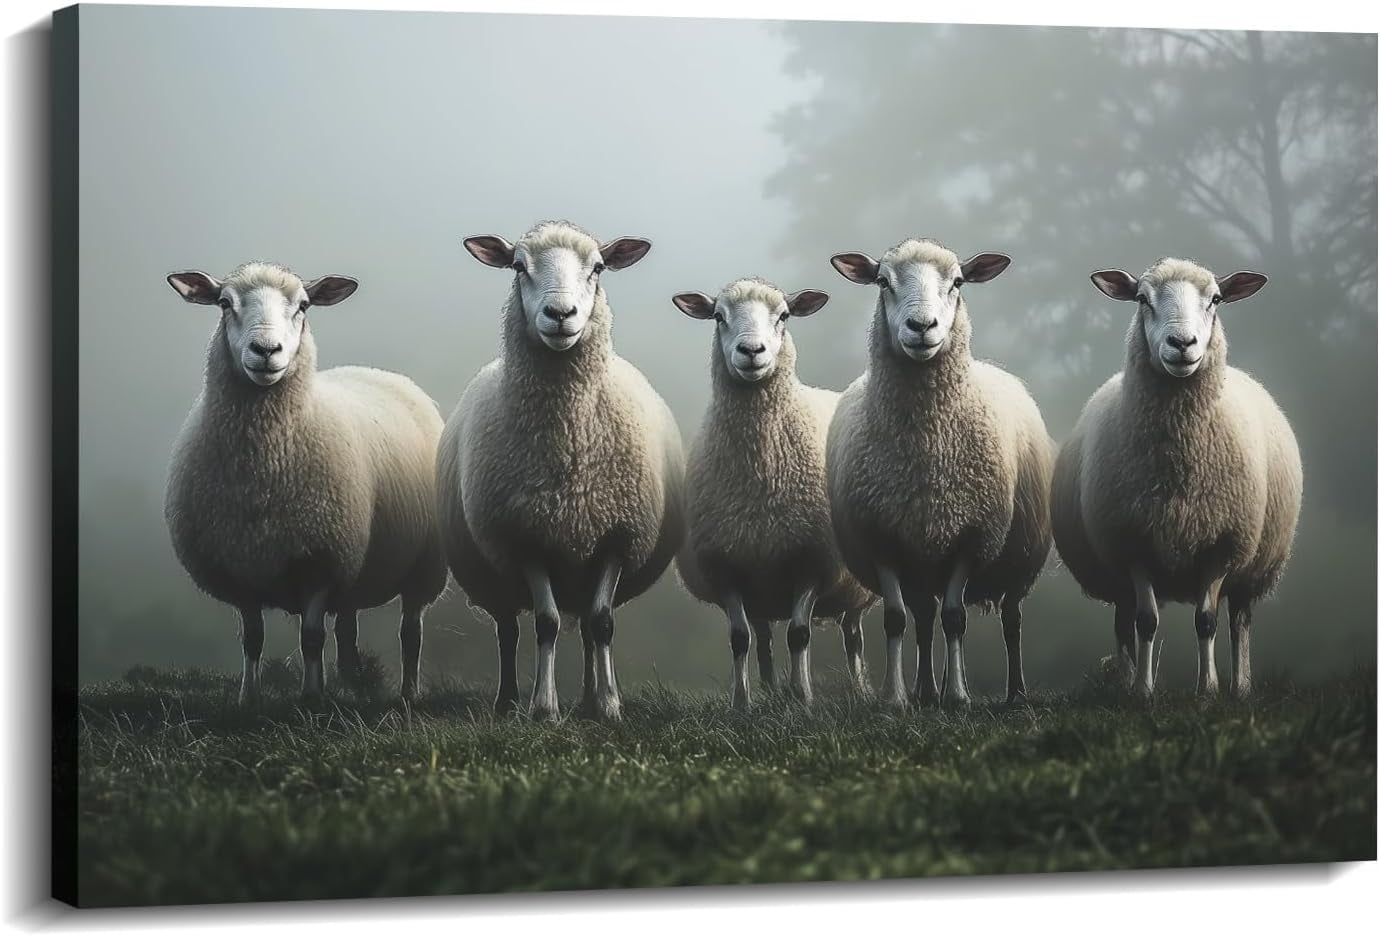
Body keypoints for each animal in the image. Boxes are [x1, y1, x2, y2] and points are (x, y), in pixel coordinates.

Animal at [164, 261, 448, 705]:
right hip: (355, 568)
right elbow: (252, 639)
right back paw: (351, 680)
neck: (264, 467)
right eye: (224, 303)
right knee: (347, 625)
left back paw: (407, 693)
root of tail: (372, 370)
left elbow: (312, 638)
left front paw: (312, 697)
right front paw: (248, 700)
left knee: (410, 632)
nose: (266, 351)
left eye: (303, 305)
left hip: (425, 566)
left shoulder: (321, 561)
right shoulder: (239, 567)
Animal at [437, 221, 686, 721]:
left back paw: (590, 697)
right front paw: (544, 708)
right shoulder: (527, 539)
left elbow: (603, 623)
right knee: (508, 630)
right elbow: (546, 623)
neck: (569, 445)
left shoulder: (616, 536)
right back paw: (508, 701)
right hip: (496, 576)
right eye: (518, 266)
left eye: (599, 267)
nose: (560, 314)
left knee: (589, 628)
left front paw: (609, 705)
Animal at [671, 278, 874, 709]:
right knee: (762, 638)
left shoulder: (813, 562)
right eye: (718, 316)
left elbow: (799, 634)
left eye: (783, 315)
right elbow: (739, 639)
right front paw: (741, 703)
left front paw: (804, 699)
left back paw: (859, 689)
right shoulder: (726, 567)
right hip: (759, 583)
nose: (751, 352)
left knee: (852, 635)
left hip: (854, 587)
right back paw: (768, 689)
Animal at [826, 238, 1055, 708]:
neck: (927, 450)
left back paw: (1014, 693)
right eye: (882, 281)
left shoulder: (971, 535)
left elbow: (956, 618)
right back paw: (925, 691)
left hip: (1020, 560)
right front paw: (895, 698)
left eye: (959, 282)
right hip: (921, 560)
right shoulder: (883, 538)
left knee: (1010, 620)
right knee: (924, 619)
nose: (921, 326)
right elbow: (897, 620)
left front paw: (959, 697)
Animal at [1051, 258, 1303, 699]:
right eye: (1141, 299)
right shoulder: (1133, 542)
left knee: (1240, 620)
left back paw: (1241, 687)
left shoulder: (1223, 545)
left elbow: (1207, 621)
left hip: (1254, 565)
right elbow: (1146, 621)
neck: (1180, 464)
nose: (1182, 343)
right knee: (1124, 621)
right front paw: (1143, 692)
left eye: (1216, 299)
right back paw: (1124, 682)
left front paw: (1207, 691)